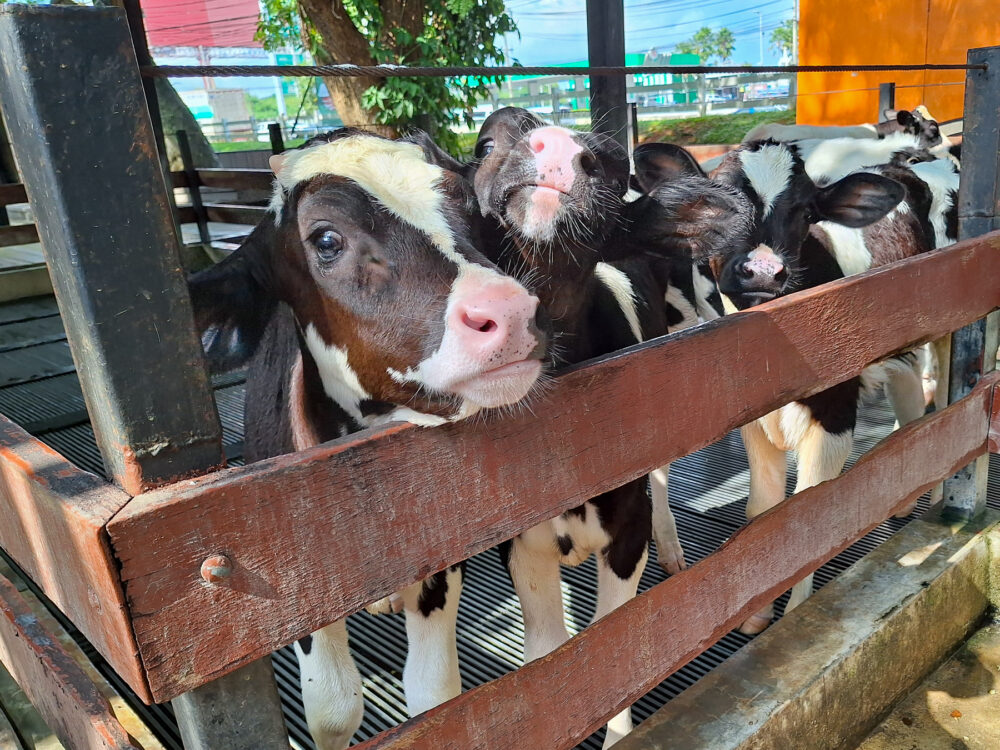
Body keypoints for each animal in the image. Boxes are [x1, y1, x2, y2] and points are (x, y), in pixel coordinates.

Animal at [187, 131, 548, 750]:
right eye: (326, 239)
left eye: (465, 204)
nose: (510, 311)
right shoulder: (296, 587)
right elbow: (333, 709)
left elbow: (434, 695)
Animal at [460, 108, 752, 748]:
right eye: (486, 143)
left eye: (616, 168)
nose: (554, 144)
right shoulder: (520, 546)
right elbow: (550, 651)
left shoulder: (625, 531)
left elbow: (616, 639)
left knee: (661, 481)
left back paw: (673, 549)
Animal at [632, 140, 944, 636]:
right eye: (718, 206)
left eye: (805, 212)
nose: (763, 271)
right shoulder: (755, 422)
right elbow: (764, 511)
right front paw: (758, 612)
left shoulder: (835, 416)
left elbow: (810, 517)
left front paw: (796, 611)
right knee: (910, 393)